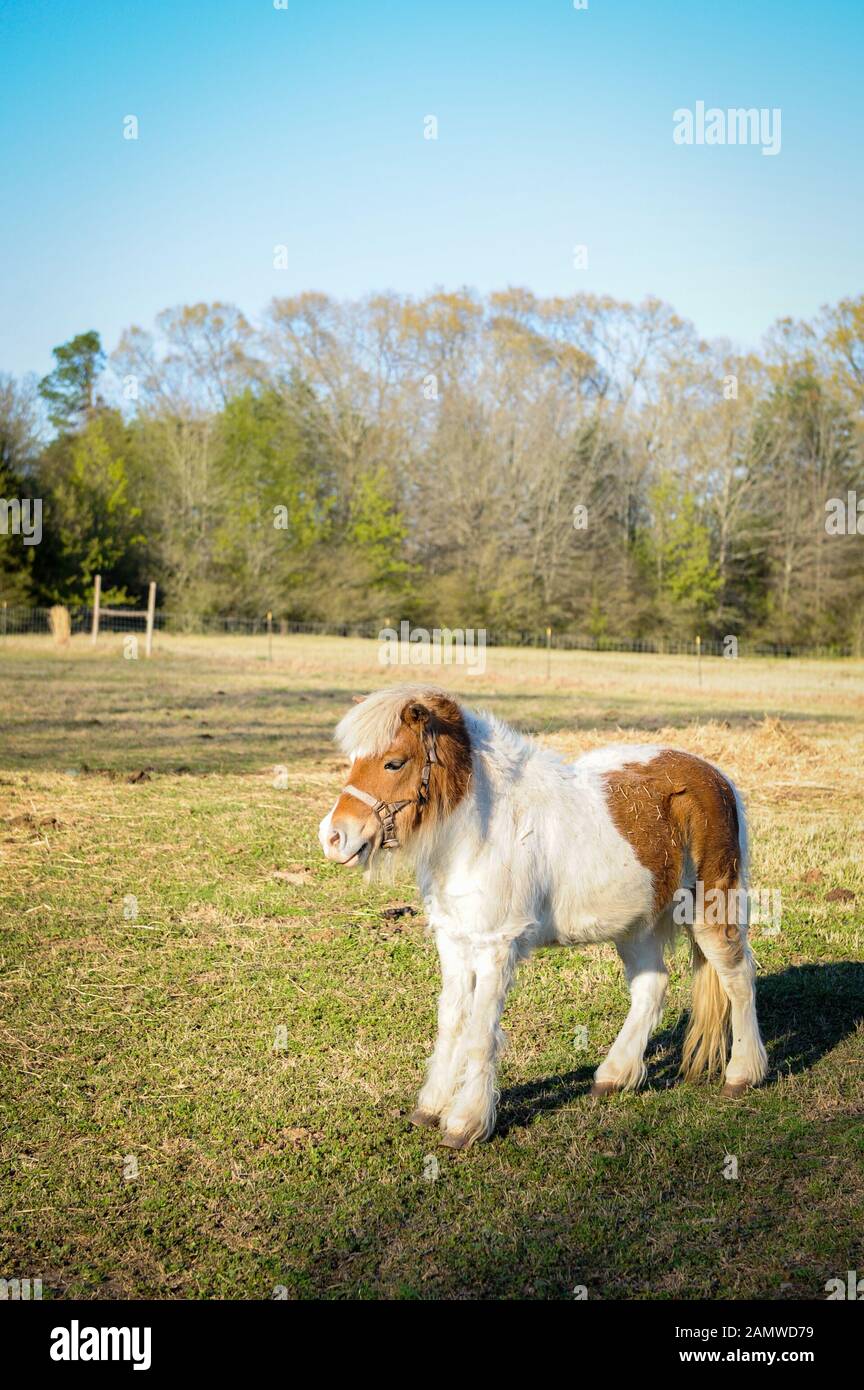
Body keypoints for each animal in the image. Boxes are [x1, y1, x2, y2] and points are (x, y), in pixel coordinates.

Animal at [318, 686, 768, 1149]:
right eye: (354, 759)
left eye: (394, 762)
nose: (333, 838)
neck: (482, 831)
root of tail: (718, 777)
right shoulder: (454, 941)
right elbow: (452, 1023)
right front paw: (431, 1108)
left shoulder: (496, 946)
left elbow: (480, 1034)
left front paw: (465, 1123)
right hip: (636, 925)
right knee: (651, 987)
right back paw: (612, 1077)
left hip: (711, 907)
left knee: (738, 977)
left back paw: (741, 1075)